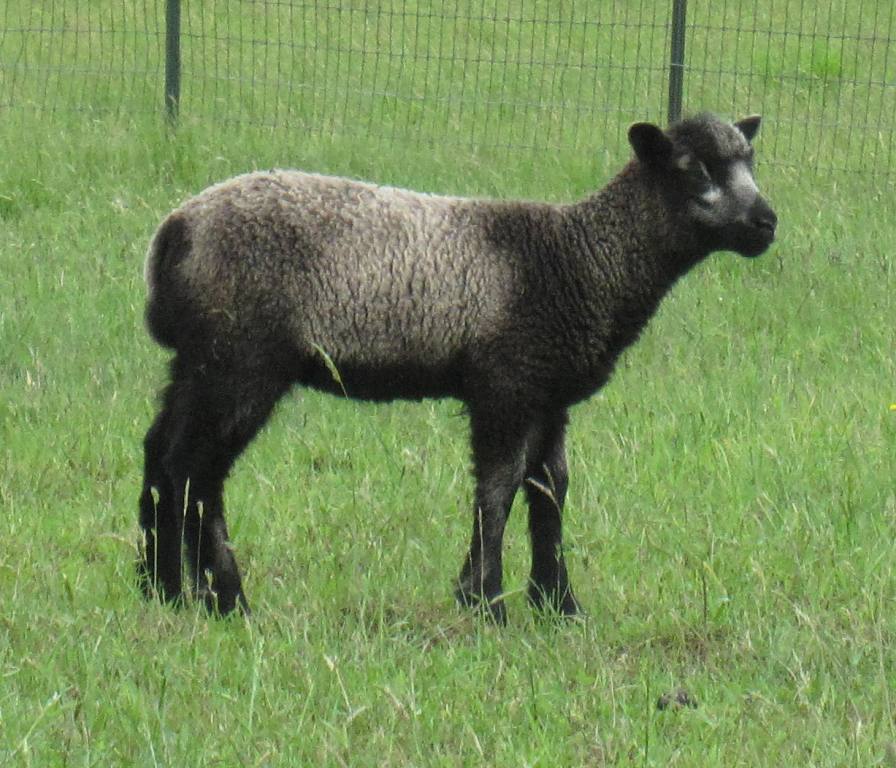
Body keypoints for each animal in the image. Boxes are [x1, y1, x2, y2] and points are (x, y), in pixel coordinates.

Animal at [137, 112, 777, 622]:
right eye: (693, 170)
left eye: (749, 161)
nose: (767, 222)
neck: (580, 258)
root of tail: (174, 232)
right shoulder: (506, 383)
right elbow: (499, 487)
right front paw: (485, 601)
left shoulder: (548, 394)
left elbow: (550, 489)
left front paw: (559, 605)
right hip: (241, 360)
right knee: (197, 470)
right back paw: (227, 600)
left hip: (196, 361)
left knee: (161, 455)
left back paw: (161, 590)